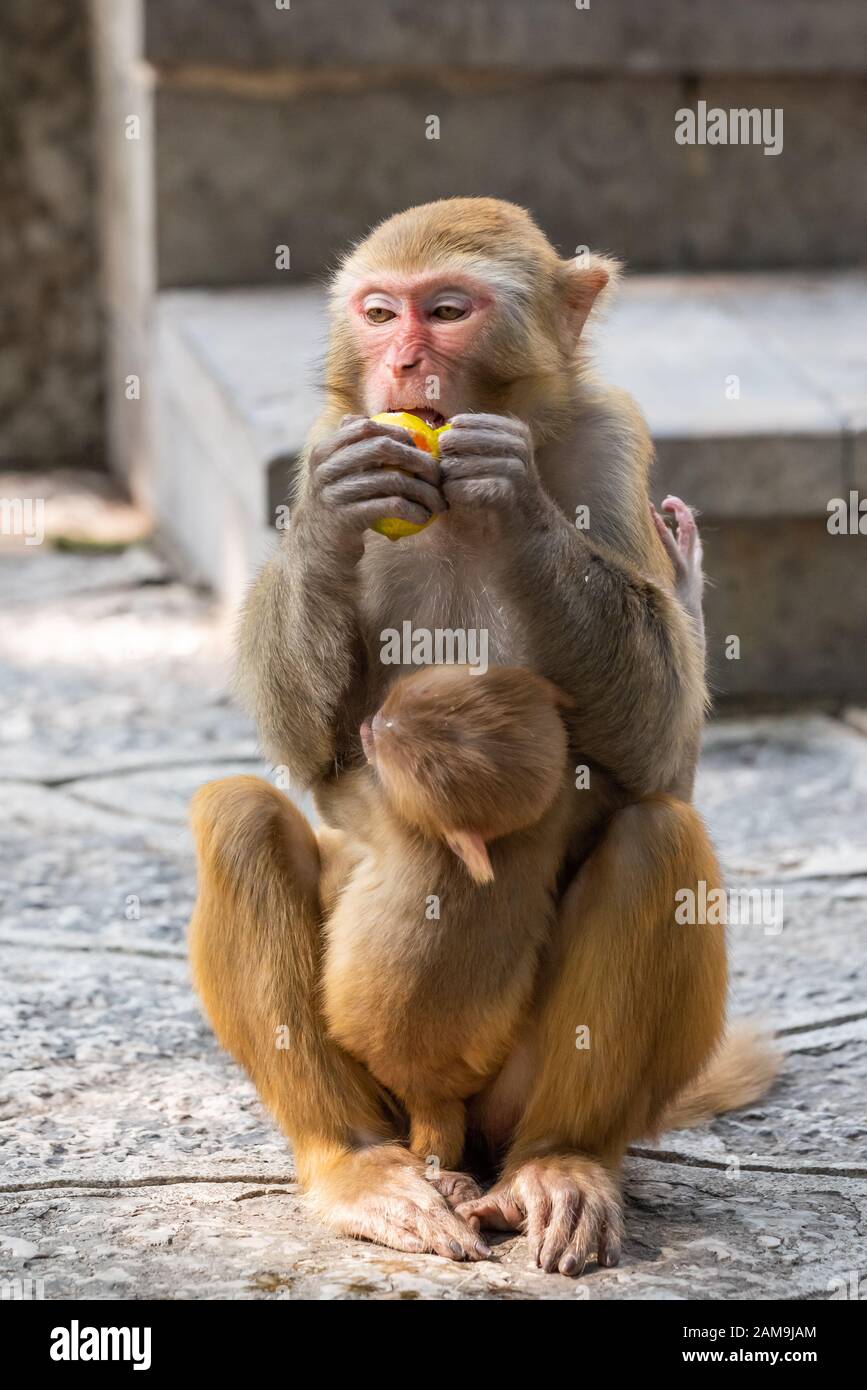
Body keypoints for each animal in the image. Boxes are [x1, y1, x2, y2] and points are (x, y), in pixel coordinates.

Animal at [189, 198, 776, 1276]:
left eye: (448, 311)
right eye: (381, 312)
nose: (403, 364)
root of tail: (446, 1127)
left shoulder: (610, 440)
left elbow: (660, 755)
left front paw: (512, 497)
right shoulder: (327, 433)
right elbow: (310, 751)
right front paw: (333, 513)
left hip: (522, 1095)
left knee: (659, 834)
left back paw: (562, 1162)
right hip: (379, 1092)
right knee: (239, 815)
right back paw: (354, 1164)